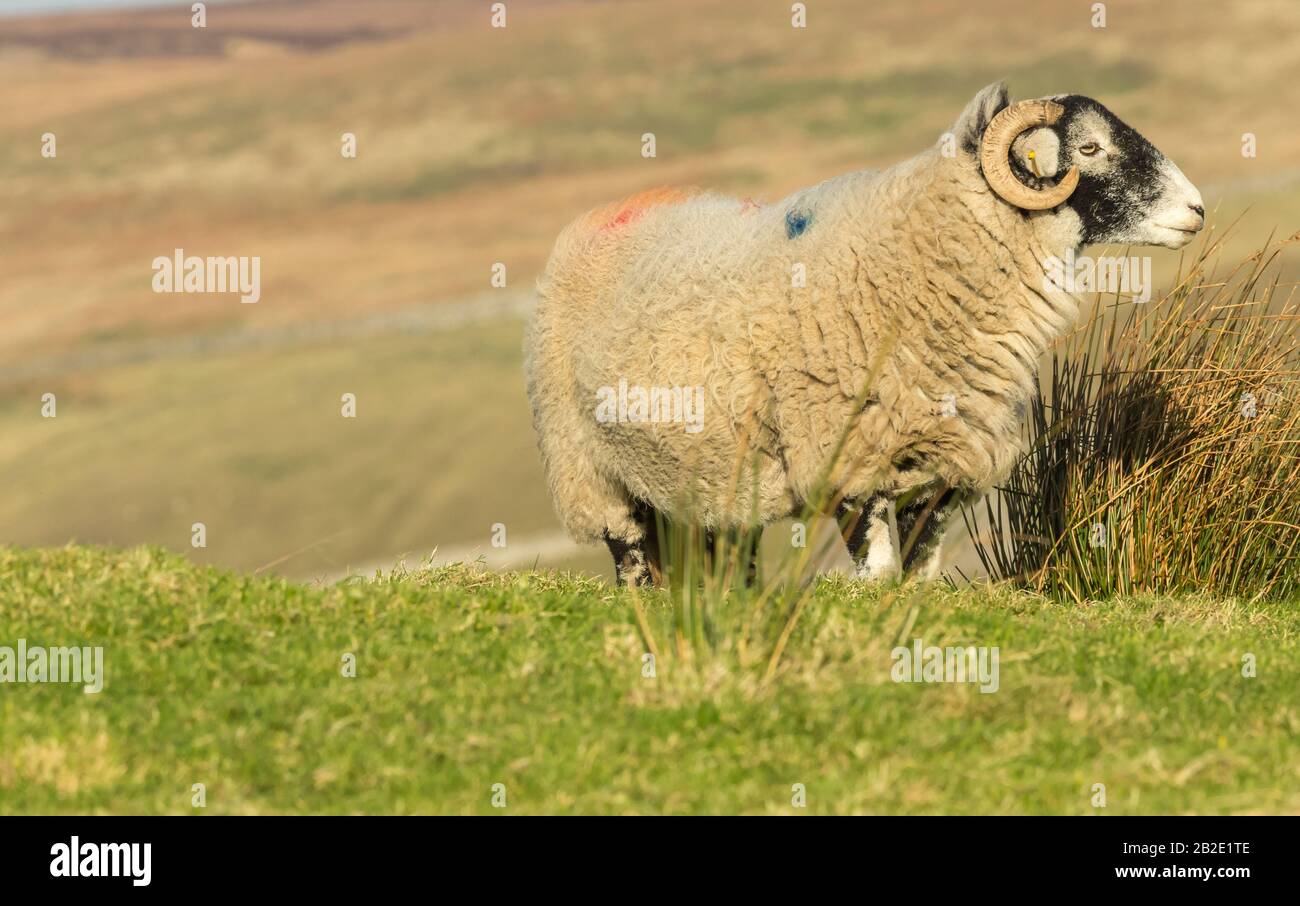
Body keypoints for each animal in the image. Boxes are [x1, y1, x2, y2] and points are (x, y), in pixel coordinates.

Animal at [525, 82, 1205, 586]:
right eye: (1089, 147)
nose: (1197, 210)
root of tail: (589, 222)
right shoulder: (846, 451)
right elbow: (877, 571)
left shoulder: (944, 459)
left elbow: (921, 569)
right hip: (588, 466)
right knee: (629, 554)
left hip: (715, 471)